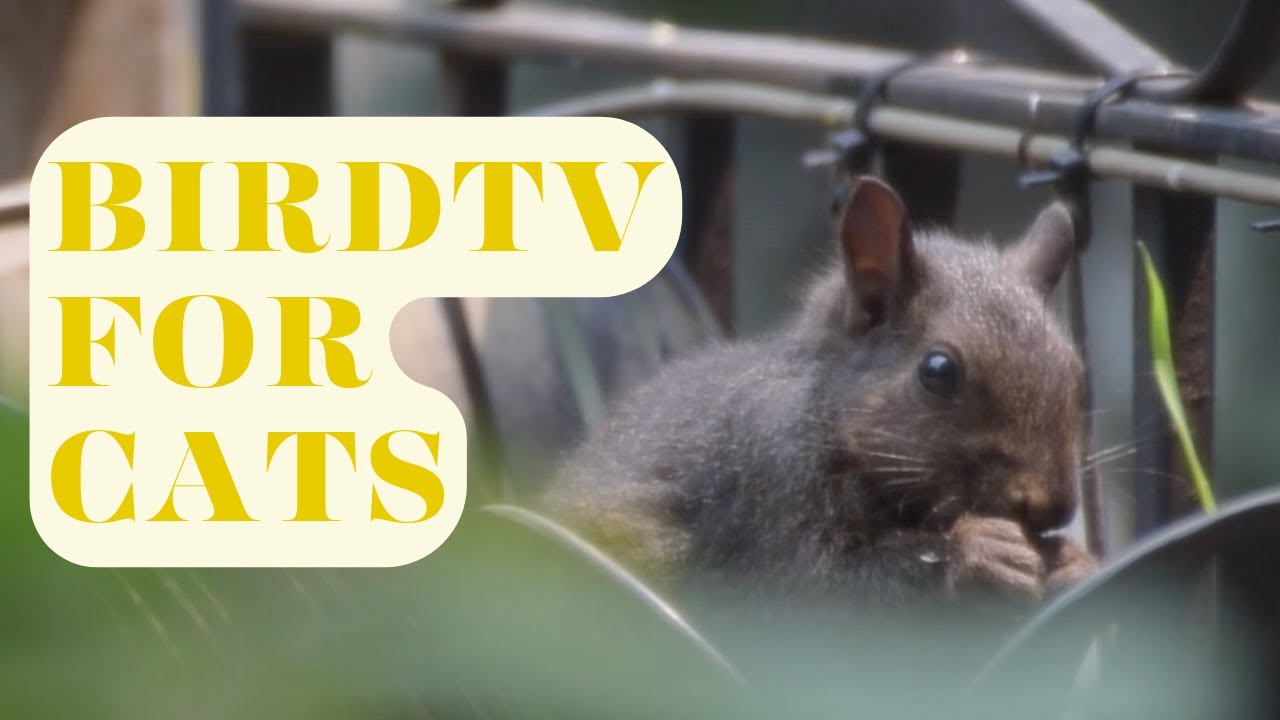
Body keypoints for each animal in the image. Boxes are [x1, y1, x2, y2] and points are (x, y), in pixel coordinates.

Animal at [542, 176, 1098, 614]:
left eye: (1076, 370)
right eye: (938, 372)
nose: (1054, 508)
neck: (820, 414)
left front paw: (1075, 564)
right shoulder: (771, 479)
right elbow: (810, 586)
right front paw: (977, 551)